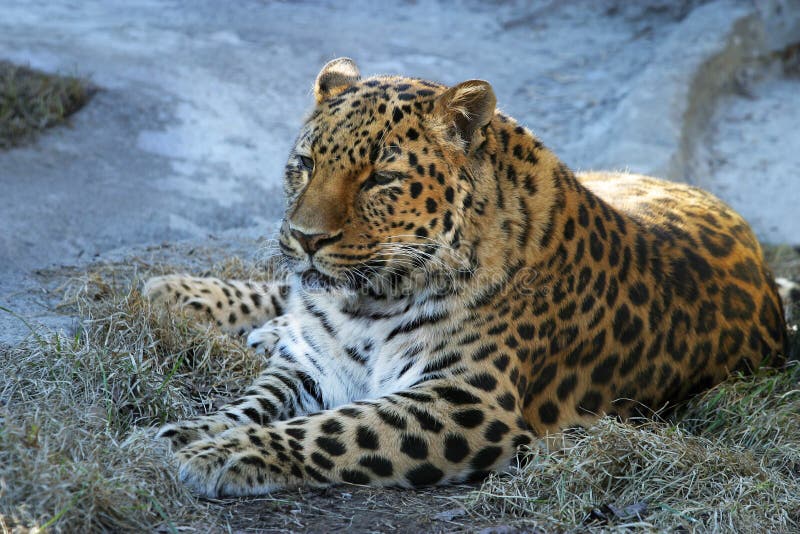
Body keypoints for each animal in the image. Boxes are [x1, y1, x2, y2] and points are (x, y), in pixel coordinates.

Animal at [145, 58, 788, 498]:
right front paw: (184, 434)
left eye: (380, 178)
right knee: (285, 293)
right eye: (303, 165)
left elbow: (332, 430)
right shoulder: (309, 365)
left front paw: (221, 455)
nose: (304, 237)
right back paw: (177, 291)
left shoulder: (468, 401)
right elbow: (250, 402)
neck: (369, 304)